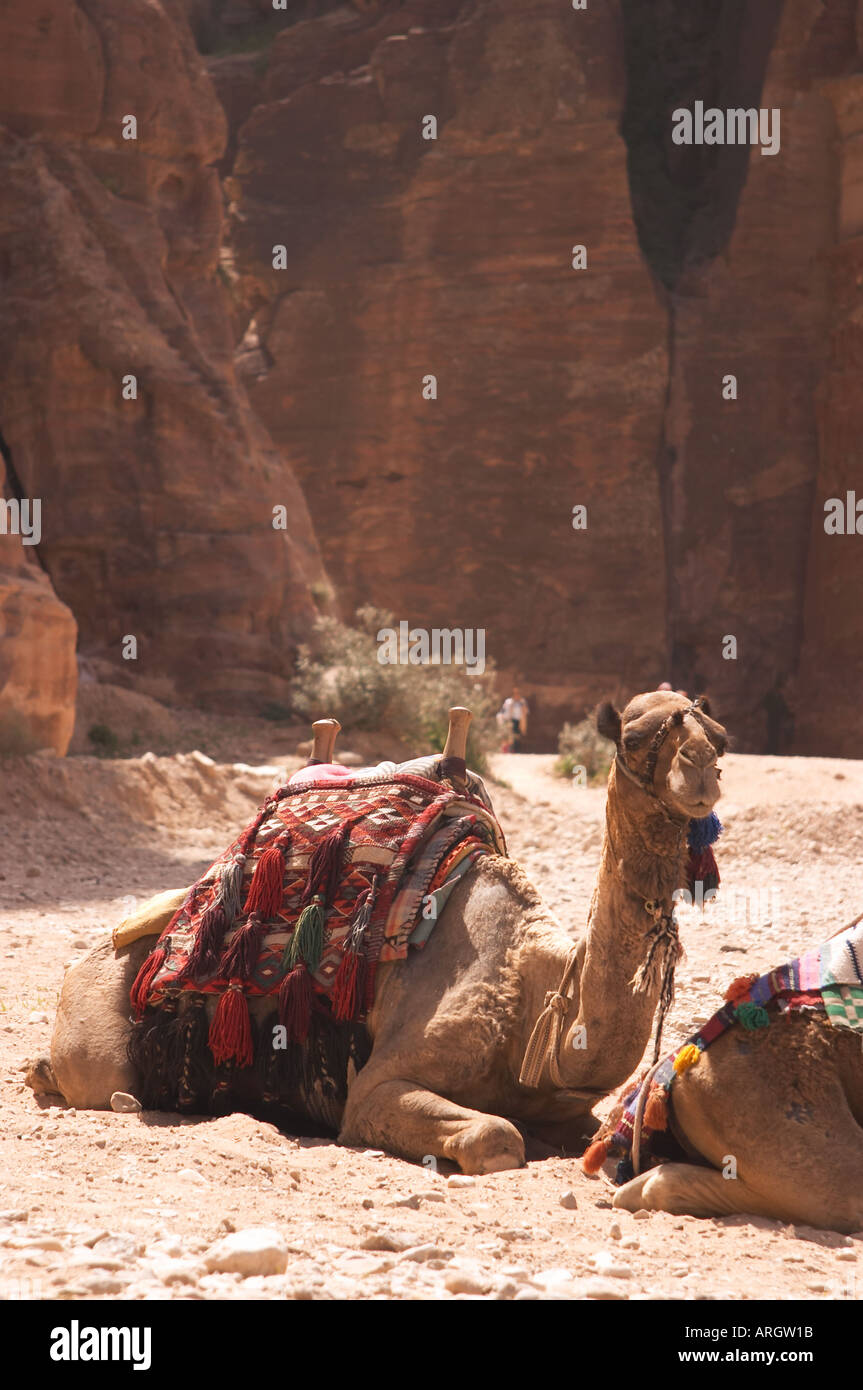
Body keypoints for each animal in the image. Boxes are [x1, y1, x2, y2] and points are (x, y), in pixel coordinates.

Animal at [27, 691, 730, 1180]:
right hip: (101, 1029)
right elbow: (495, 1137)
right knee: (100, 1080)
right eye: (633, 736)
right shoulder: (374, 1091)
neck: (536, 996)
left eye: (718, 736)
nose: (702, 770)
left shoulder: (566, 1106)